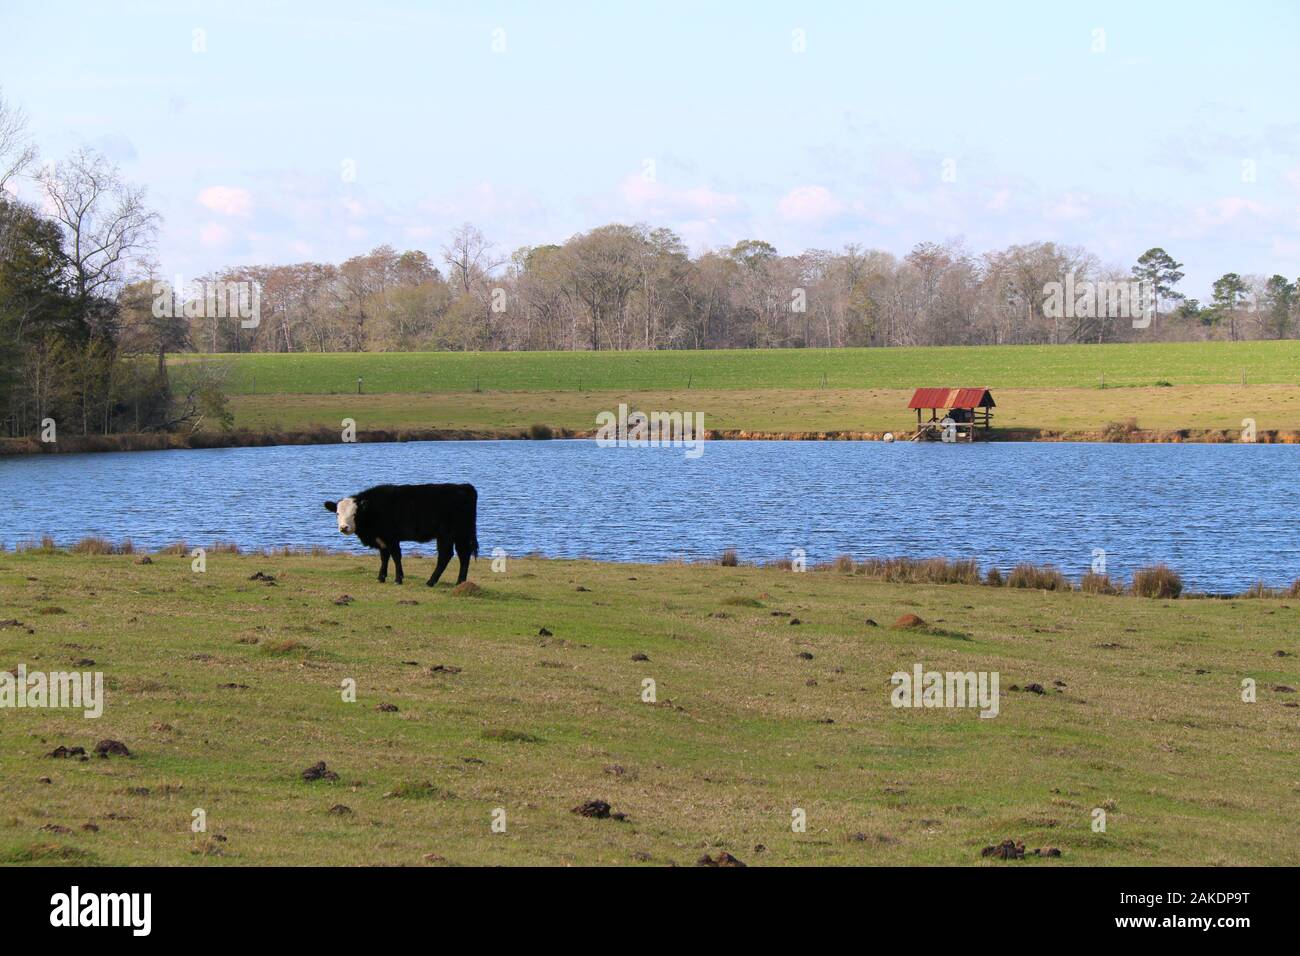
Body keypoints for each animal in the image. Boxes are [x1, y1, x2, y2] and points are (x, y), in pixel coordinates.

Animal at [323, 483, 479, 586]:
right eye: (337, 513)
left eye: (355, 513)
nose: (344, 527)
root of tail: (463, 487)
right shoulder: (382, 539)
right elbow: (384, 557)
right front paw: (381, 577)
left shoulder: (391, 538)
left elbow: (396, 556)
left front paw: (398, 579)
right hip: (461, 534)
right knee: (463, 555)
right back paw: (460, 582)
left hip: (446, 534)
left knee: (446, 555)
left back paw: (431, 581)